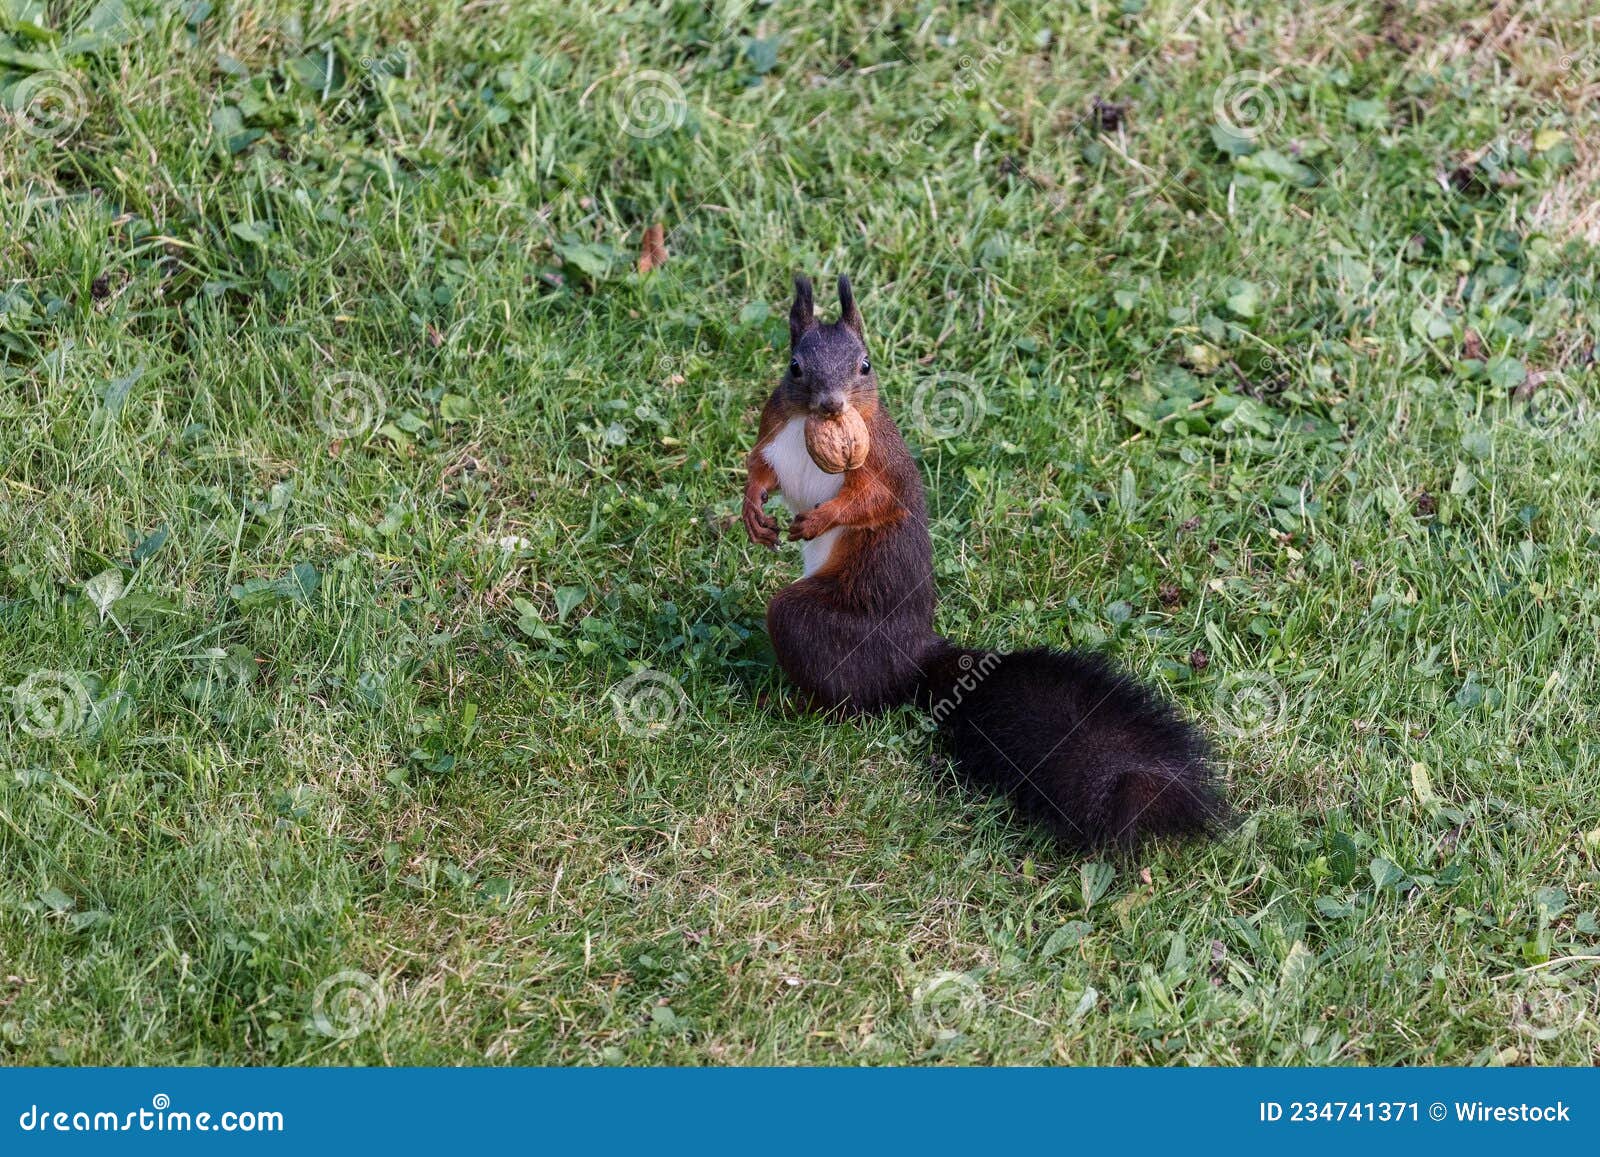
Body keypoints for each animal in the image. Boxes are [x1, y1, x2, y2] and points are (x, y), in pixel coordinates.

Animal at [742, 274, 1225, 848]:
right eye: (795, 366)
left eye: (865, 365)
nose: (833, 405)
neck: (807, 428)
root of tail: (915, 655)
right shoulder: (772, 429)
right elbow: (760, 468)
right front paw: (752, 511)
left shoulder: (878, 461)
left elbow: (873, 503)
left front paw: (817, 521)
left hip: (827, 622)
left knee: (849, 694)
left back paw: (794, 705)